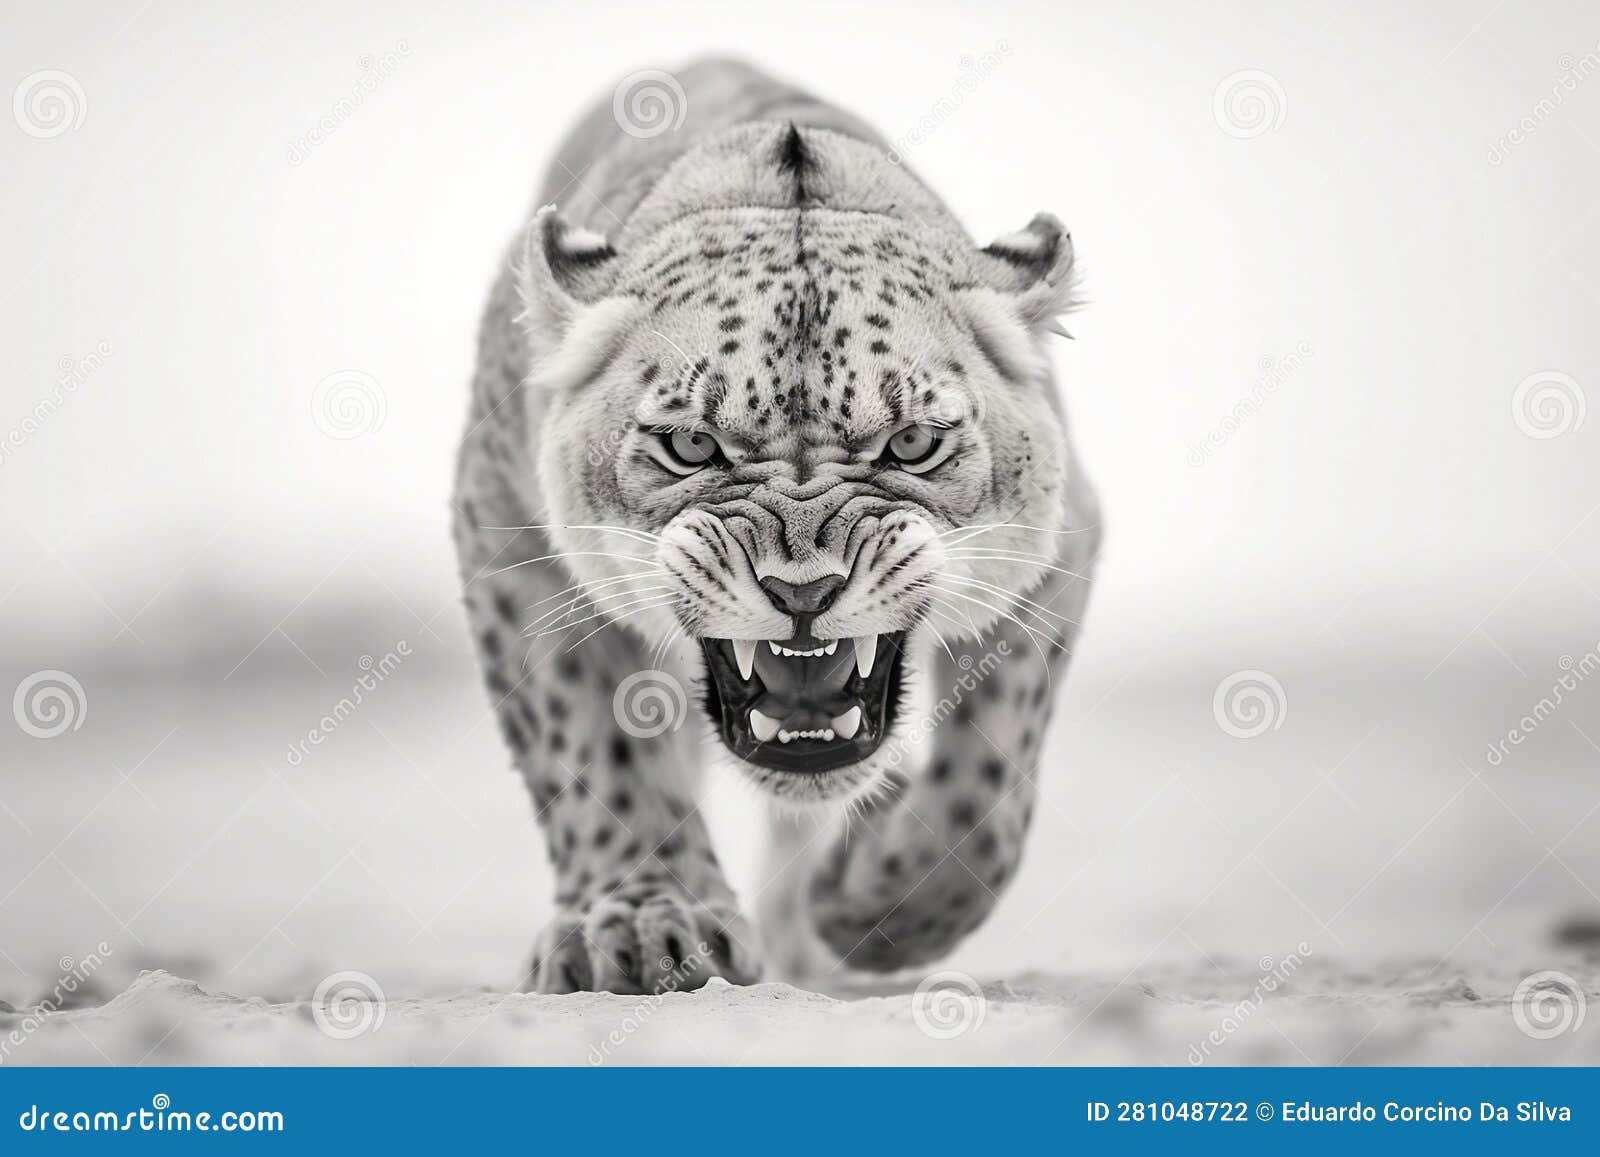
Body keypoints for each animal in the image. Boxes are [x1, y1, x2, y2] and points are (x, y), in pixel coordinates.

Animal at [452, 58, 1099, 993]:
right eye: (691, 444)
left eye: (911, 443)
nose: (803, 590)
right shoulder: (506, 529)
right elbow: (591, 745)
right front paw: (644, 926)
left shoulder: (1065, 537)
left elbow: (986, 784)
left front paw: (872, 912)